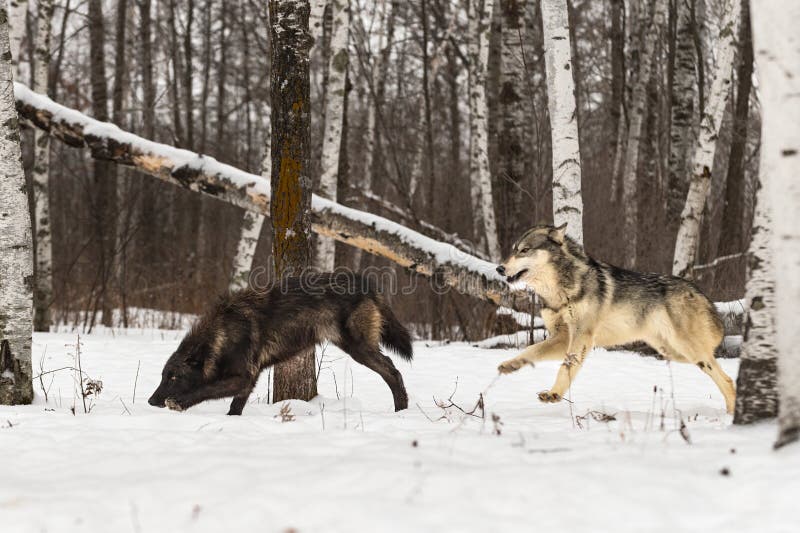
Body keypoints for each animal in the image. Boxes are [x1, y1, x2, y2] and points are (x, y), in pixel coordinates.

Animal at [148, 273, 413, 415]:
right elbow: (235, 406)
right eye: (162, 376)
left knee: (393, 371)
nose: (150, 401)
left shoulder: (242, 377)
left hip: (358, 348)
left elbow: (205, 390)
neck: (222, 334)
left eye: (174, 378)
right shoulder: (248, 382)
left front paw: (179, 403)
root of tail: (366, 282)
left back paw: (401, 409)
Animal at [495, 224, 736, 413]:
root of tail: (701, 293)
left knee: (727, 380)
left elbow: (566, 367)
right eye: (513, 250)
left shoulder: (582, 336)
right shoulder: (562, 338)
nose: (499, 268)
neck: (559, 292)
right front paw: (510, 365)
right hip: (676, 354)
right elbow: (530, 350)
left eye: (525, 250)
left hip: (690, 351)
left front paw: (553, 394)